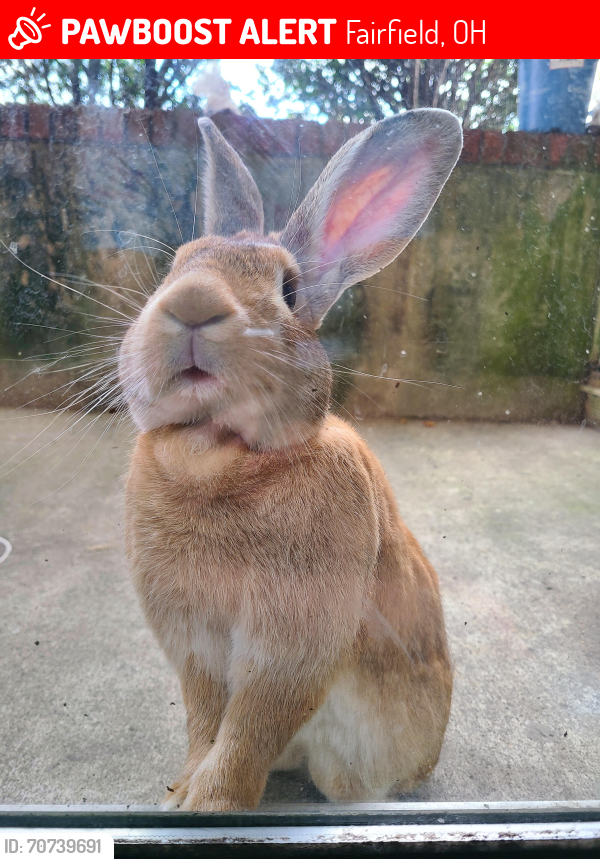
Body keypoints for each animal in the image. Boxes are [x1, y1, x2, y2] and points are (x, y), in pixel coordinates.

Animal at [119, 108, 462, 811]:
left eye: (289, 289)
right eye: (176, 266)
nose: (192, 304)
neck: (215, 456)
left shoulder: (291, 641)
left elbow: (252, 720)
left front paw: (209, 804)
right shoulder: (195, 644)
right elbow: (207, 715)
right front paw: (182, 793)